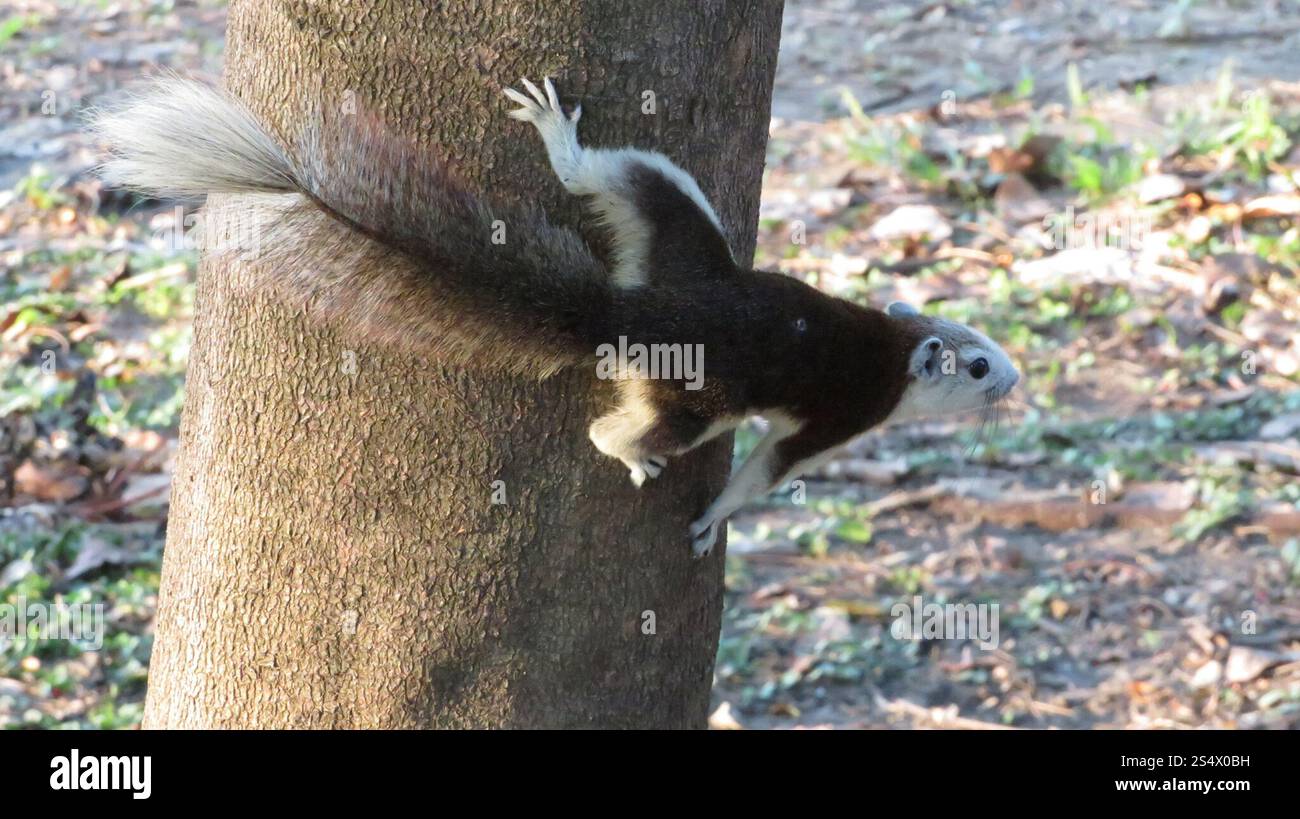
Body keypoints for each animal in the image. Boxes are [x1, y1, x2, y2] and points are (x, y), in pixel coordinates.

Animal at [90, 75, 1019, 557]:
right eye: (977, 364)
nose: (1013, 381)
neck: (896, 345)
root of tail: (632, 310)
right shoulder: (843, 416)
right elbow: (770, 467)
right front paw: (714, 522)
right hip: (693, 395)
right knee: (633, 429)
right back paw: (631, 455)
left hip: (679, 236)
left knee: (625, 178)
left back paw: (559, 143)